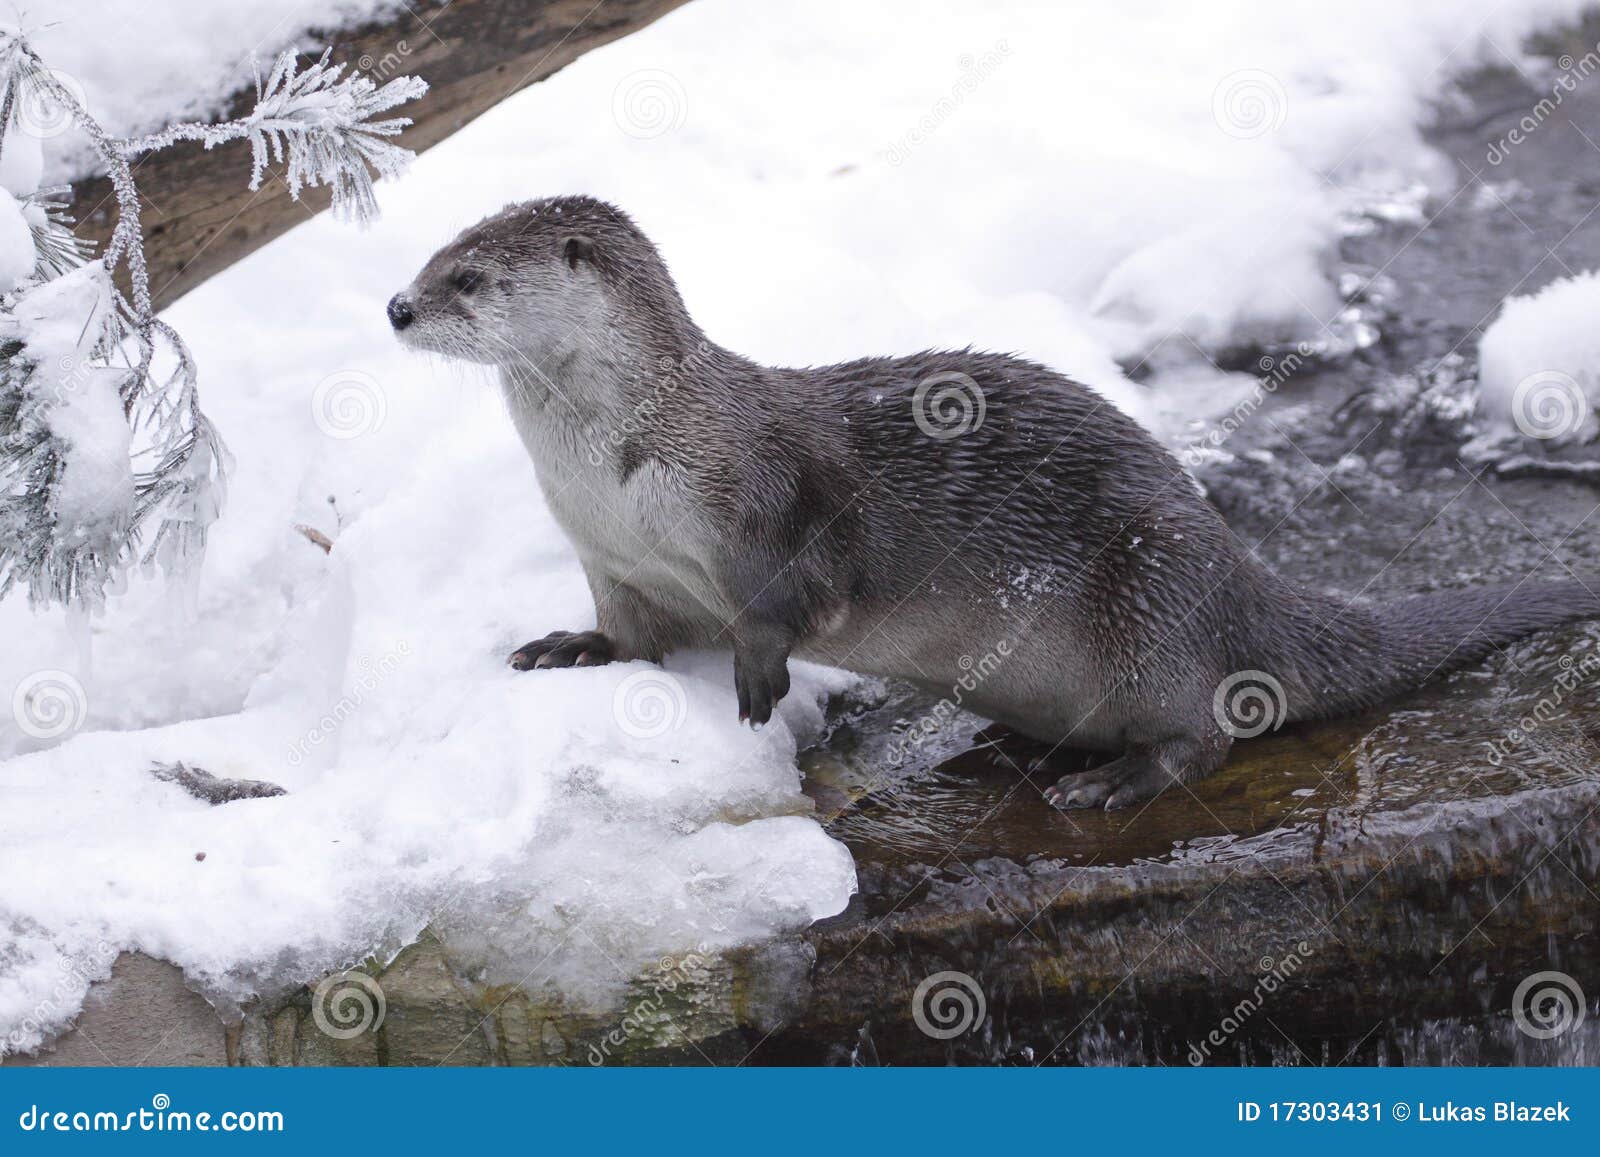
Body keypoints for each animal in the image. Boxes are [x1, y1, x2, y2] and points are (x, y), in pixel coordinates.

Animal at [388, 195, 1599, 809]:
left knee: (1209, 724)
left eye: (470, 277)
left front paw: (758, 670)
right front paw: (570, 648)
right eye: (429, 255)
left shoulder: (769, 497)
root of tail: (1237, 575)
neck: (620, 462)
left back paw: (1117, 780)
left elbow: (797, 593)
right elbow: (632, 633)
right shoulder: (614, 557)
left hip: (1149, 583)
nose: (397, 305)